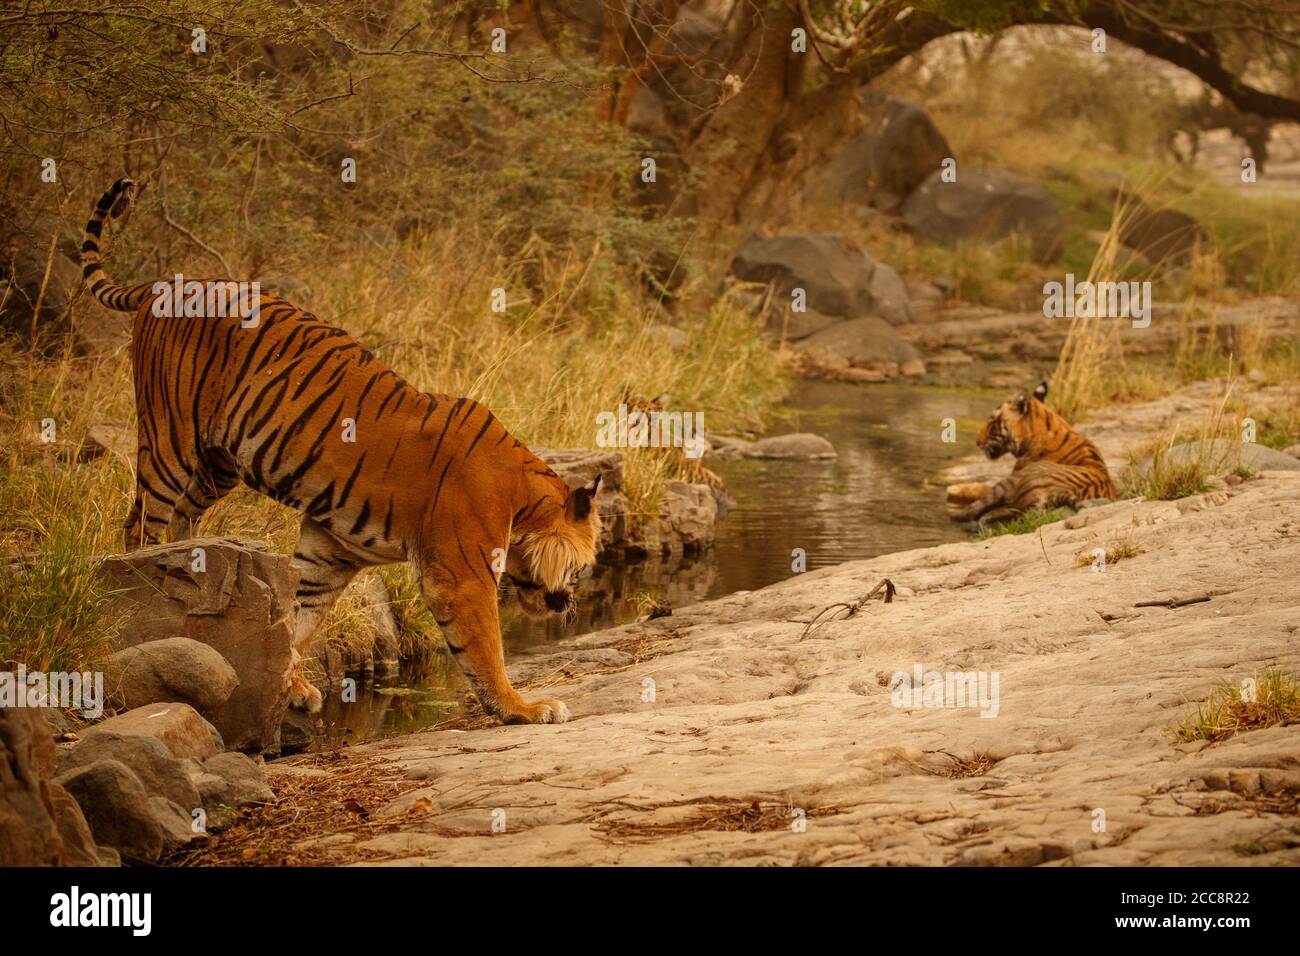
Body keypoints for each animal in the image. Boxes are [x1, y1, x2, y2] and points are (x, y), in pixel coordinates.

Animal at [82, 178, 600, 724]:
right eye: (583, 565)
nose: (569, 607)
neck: (524, 502)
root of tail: (165, 283)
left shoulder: (328, 553)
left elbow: (299, 620)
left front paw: (292, 686)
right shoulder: (461, 575)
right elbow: (486, 648)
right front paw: (523, 706)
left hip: (217, 465)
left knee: (183, 519)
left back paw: (195, 565)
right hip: (169, 437)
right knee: (141, 522)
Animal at [946, 382, 1115, 527]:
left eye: (992, 421)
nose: (977, 442)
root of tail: (1056, 492)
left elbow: (980, 488)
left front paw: (954, 490)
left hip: (1009, 483)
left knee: (977, 507)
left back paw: (957, 514)